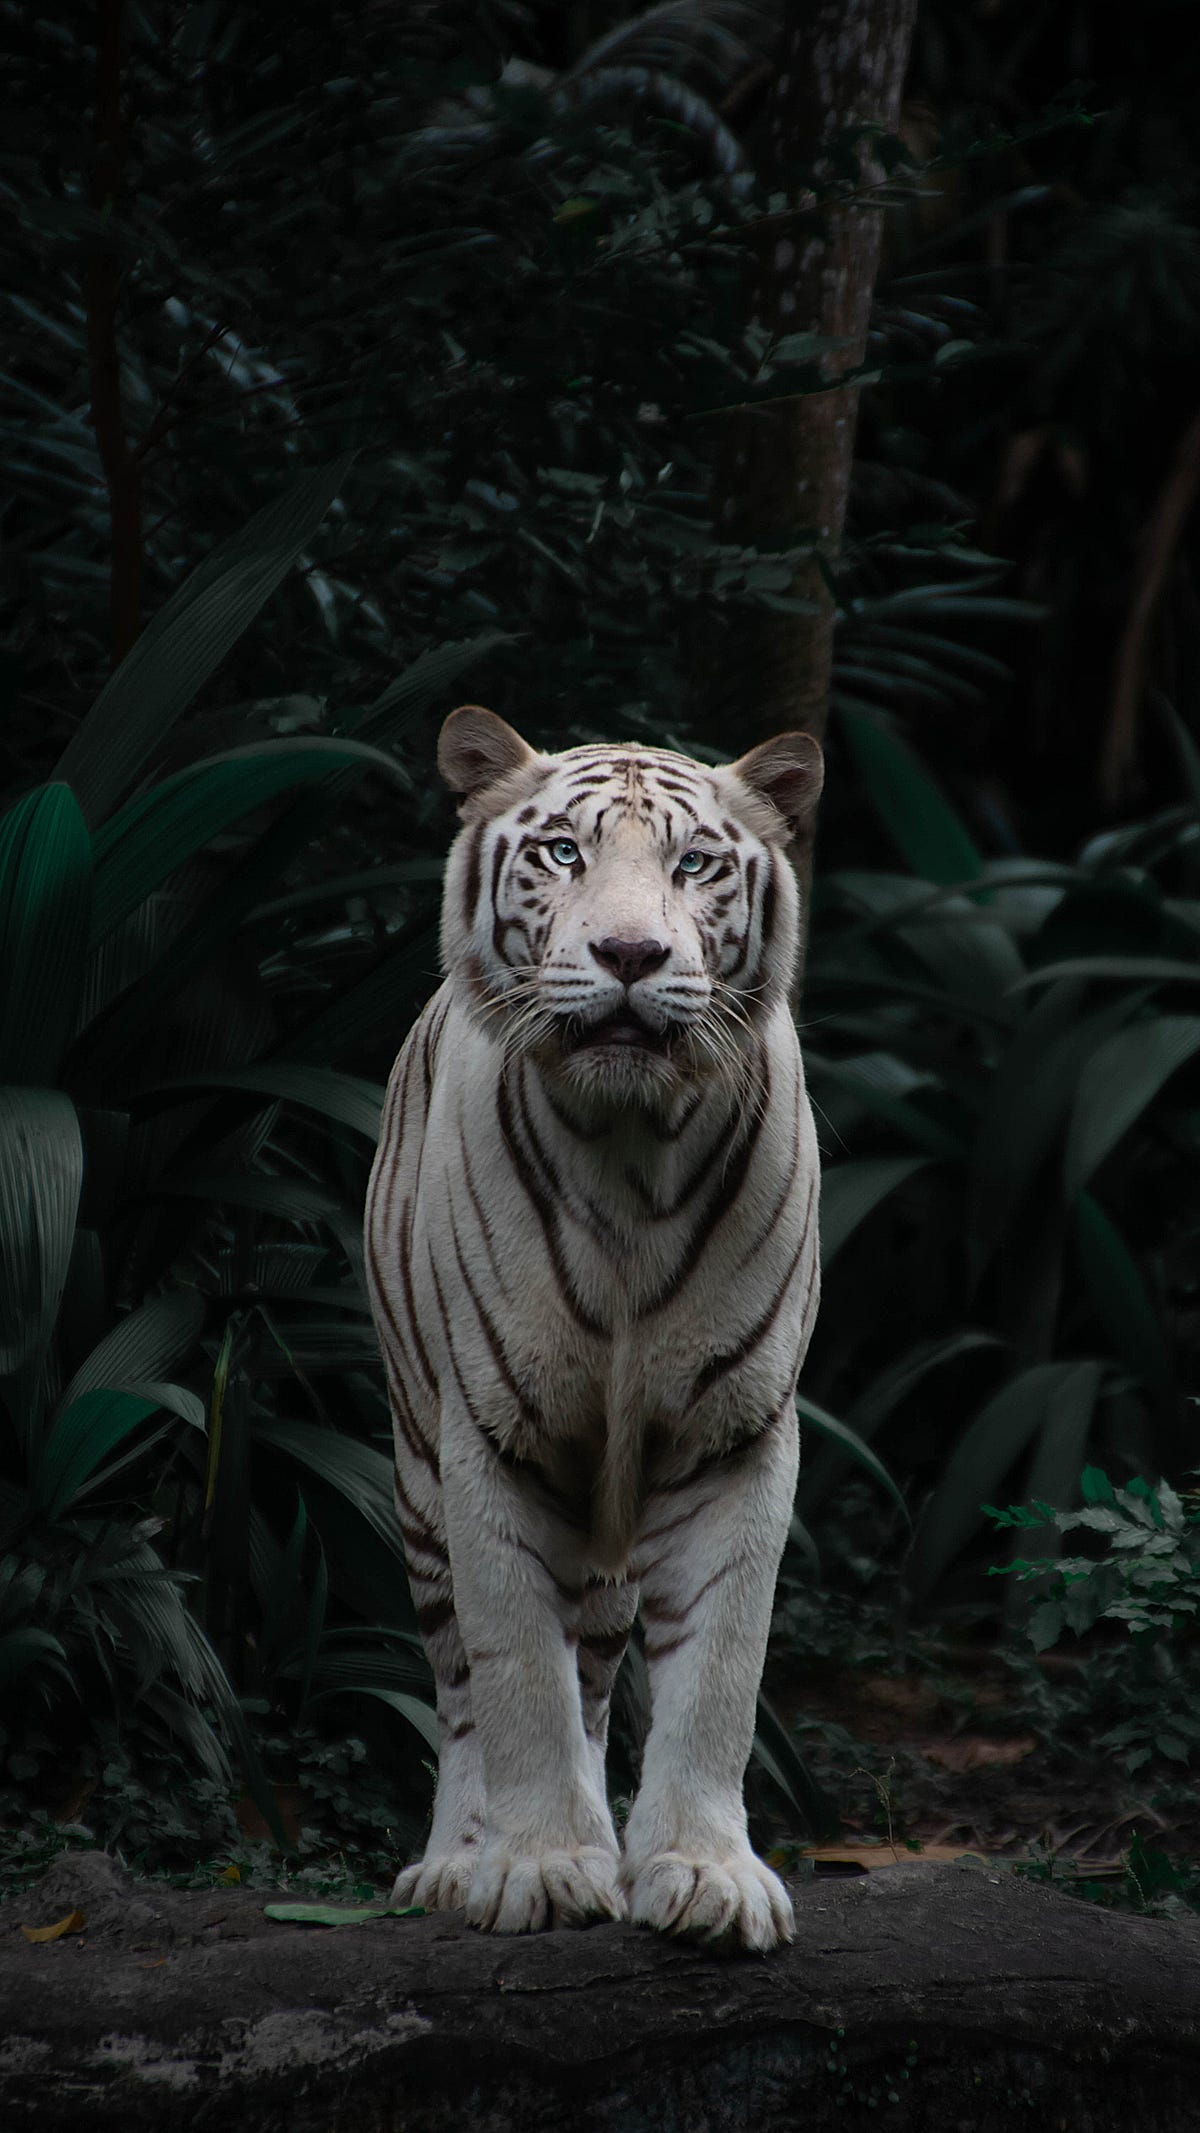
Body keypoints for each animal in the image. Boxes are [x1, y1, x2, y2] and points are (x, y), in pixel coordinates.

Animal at [364, 704, 823, 1951]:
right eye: (564, 853)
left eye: (695, 863)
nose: (628, 957)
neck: (630, 1152)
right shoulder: (490, 1438)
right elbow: (517, 1674)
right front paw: (539, 1867)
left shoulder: (735, 1436)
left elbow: (718, 1674)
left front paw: (703, 1874)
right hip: (417, 1474)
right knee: (462, 1687)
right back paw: (455, 1863)